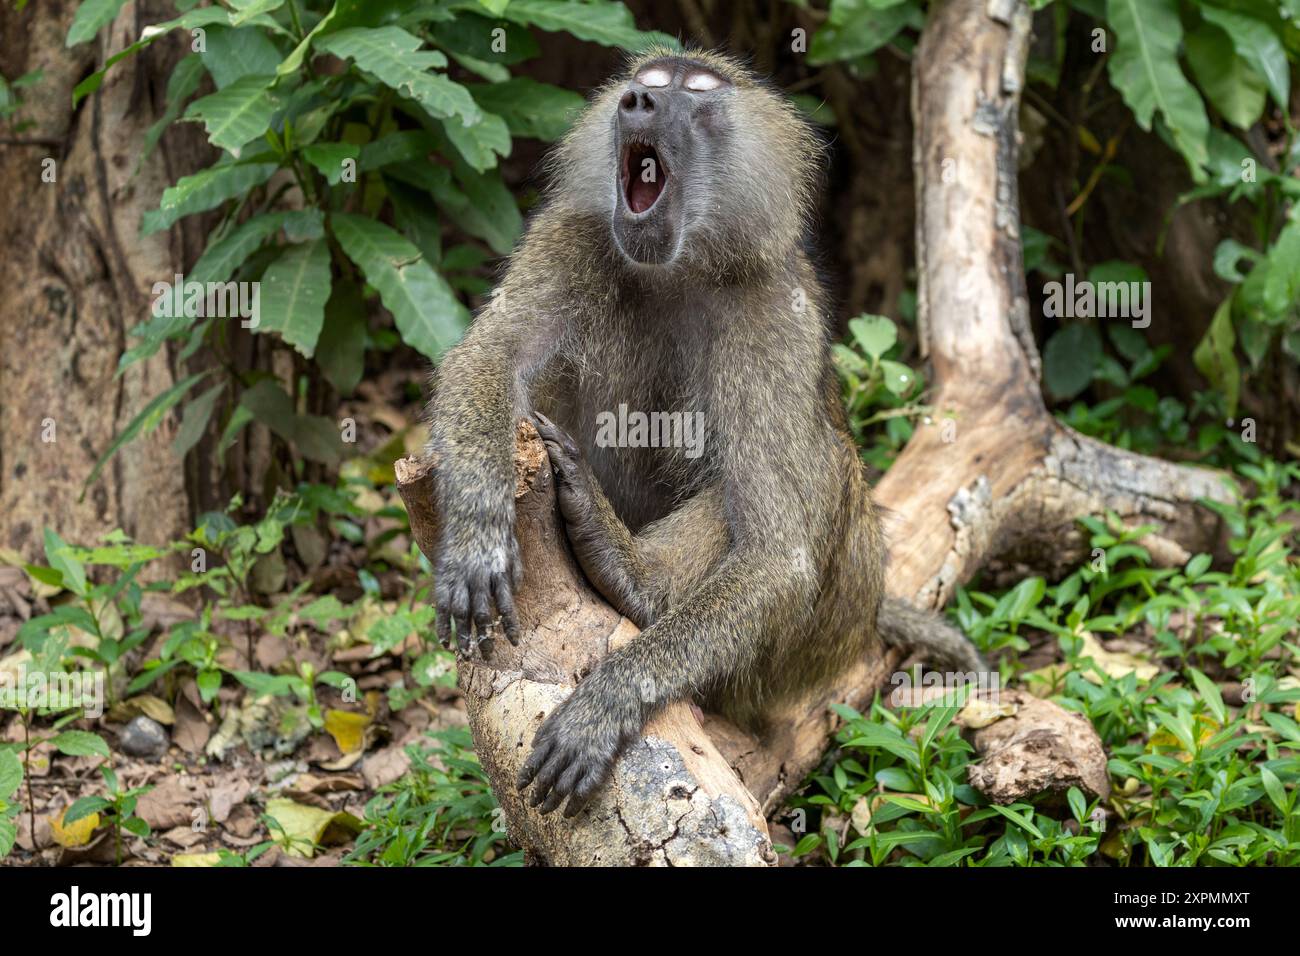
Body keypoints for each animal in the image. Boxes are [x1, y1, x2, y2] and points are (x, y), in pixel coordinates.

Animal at [425, 47, 987, 819]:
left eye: (693, 93)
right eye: (650, 84)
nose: (635, 103)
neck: (677, 264)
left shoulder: (775, 305)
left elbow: (778, 553)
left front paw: (608, 699)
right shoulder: (567, 238)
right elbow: (489, 356)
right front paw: (476, 539)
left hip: (805, 653)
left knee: (819, 470)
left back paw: (629, 575)